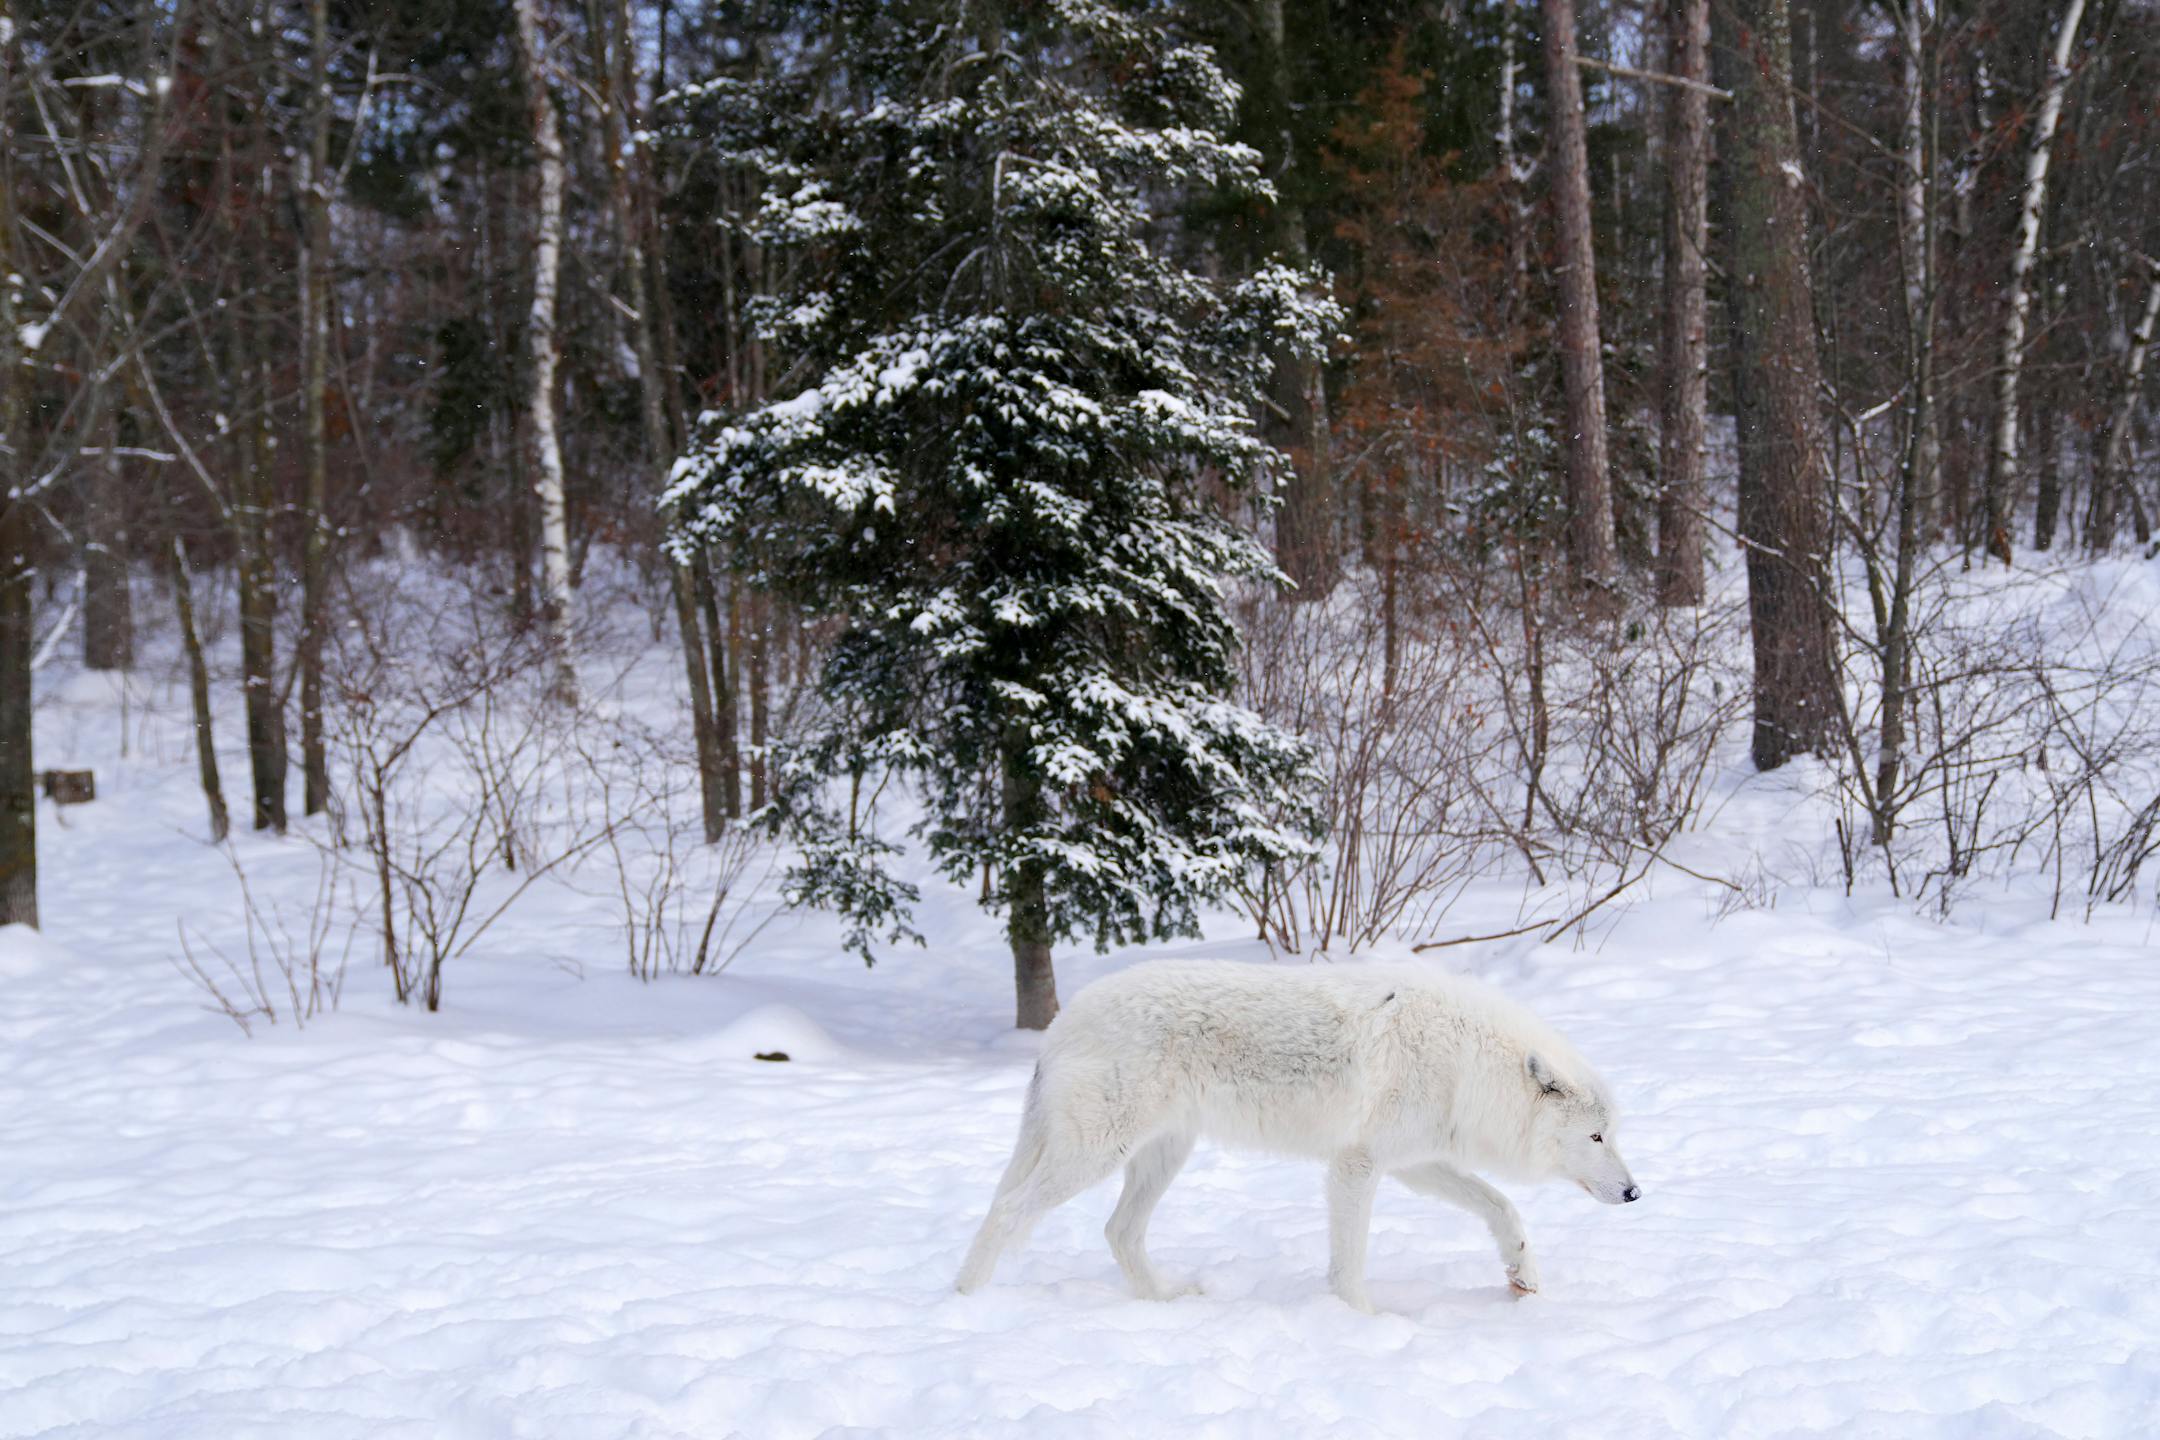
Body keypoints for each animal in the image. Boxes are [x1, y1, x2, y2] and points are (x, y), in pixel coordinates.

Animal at [954, 959, 1639, 1311]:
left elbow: (1504, 1208)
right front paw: (1363, 1320)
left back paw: (1167, 1298)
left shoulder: (1415, 1164)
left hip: (1161, 1156)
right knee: (1008, 1210)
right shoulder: (1357, 1167)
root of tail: (1060, 1024)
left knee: (1116, 1231)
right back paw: (966, 1300)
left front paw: (1523, 1278)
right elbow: (1349, 1265)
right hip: (1093, 1157)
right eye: (1598, 1137)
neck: (1470, 1062)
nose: (1636, 1194)